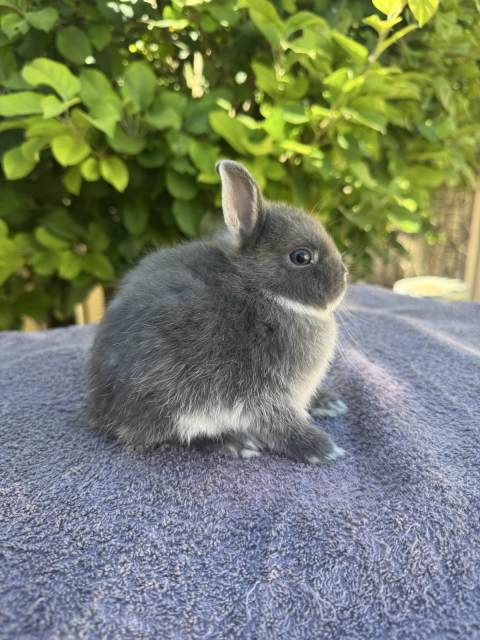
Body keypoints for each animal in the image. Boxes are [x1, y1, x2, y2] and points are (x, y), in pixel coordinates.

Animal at [86, 160, 348, 464]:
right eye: (301, 257)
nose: (344, 279)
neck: (263, 292)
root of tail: (101, 410)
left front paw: (328, 402)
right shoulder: (263, 393)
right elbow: (278, 425)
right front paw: (321, 448)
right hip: (170, 397)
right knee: (182, 434)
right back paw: (236, 442)